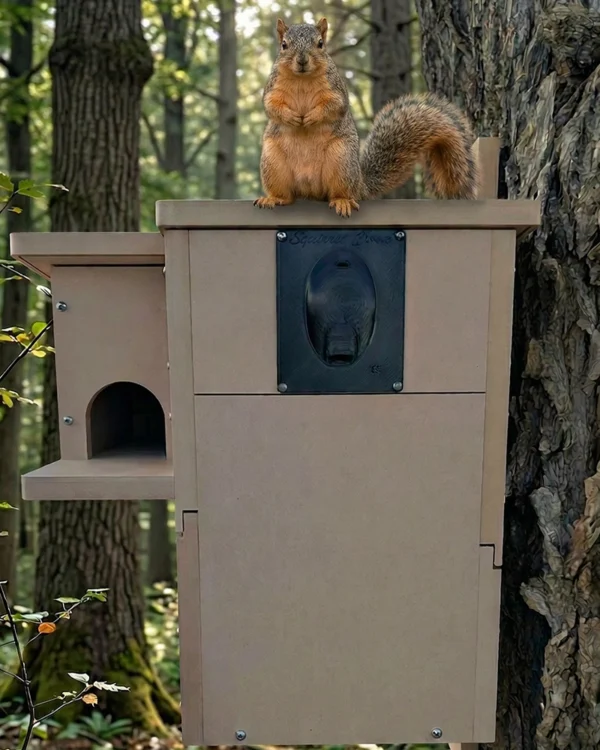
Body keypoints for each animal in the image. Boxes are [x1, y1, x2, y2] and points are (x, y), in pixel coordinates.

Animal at [254, 17, 480, 217]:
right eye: (284, 45)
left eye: (320, 44)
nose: (301, 60)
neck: (302, 78)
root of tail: (360, 184)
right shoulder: (272, 88)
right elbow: (271, 106)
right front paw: (292, 117)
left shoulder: (336, 90)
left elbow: (334, 106)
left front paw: (310, 117)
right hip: (273, 163)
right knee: (286, 195)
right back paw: (274, 198)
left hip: (341, 160)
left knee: (339, 193)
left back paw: (342, 201)